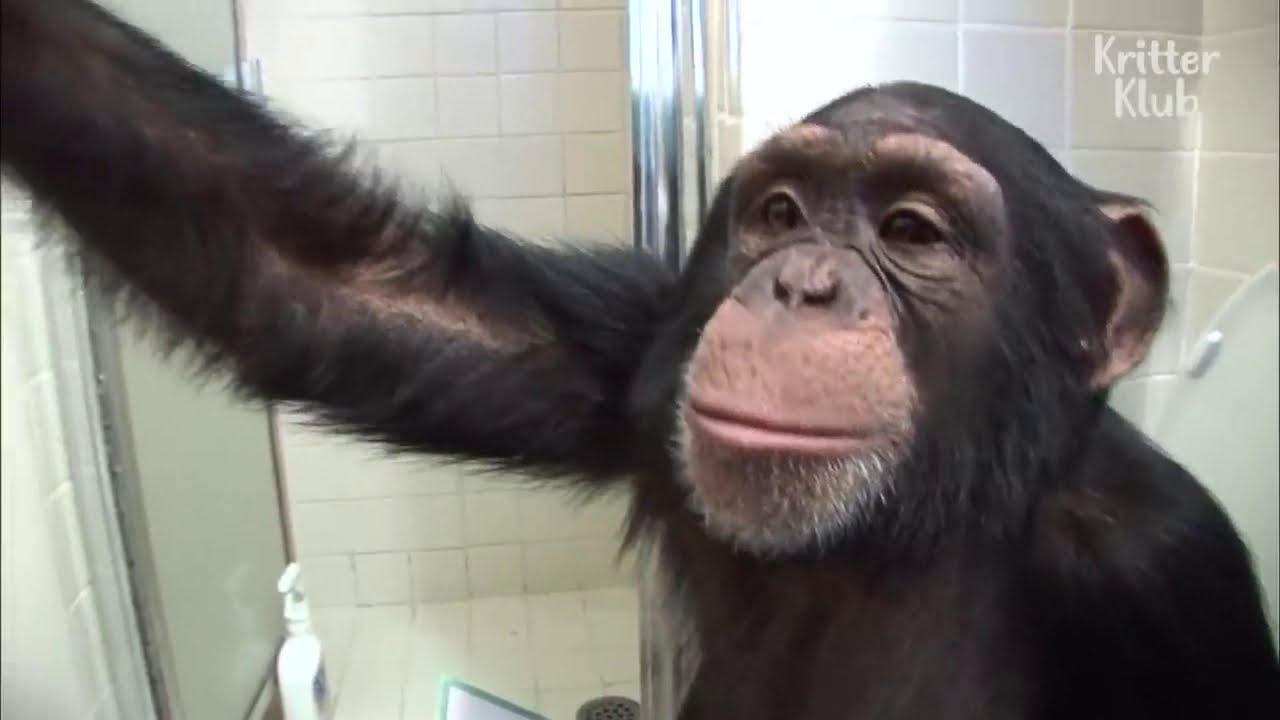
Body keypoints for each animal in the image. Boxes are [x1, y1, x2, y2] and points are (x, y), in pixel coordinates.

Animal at [1, 1, 1277, 719]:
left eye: (912, 232)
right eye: (778, 212)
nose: (801, 283)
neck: (902, 522)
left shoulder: (1172, 576)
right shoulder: (642, 344)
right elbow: (325, 277)